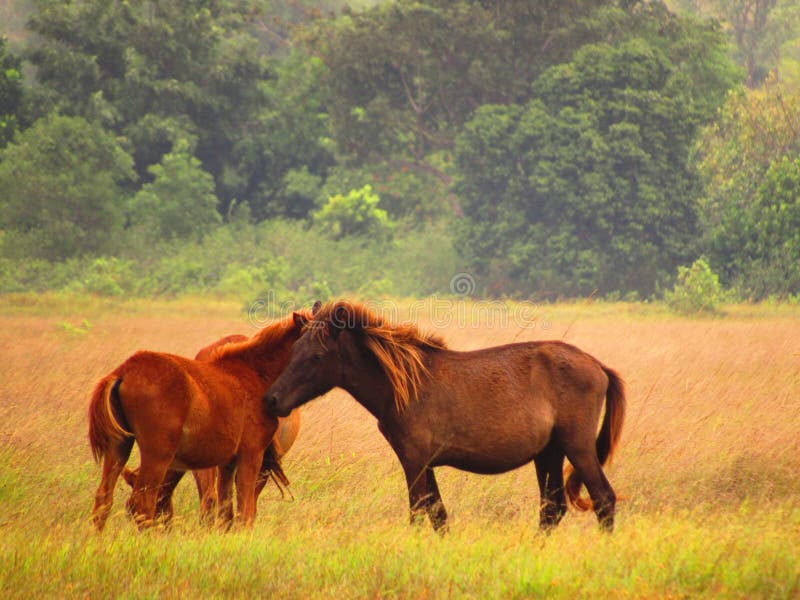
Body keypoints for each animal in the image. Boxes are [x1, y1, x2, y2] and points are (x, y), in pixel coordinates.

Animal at [264, 300, 625, 533]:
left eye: (317, 355)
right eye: (293, 349)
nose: (272, 400)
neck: (404, 384)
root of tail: (598, 366)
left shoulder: (414, 460)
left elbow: (417, 512)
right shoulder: (424, 462)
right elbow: (437, 514)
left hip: (577, 447)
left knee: (603, 499)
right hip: (548, 453)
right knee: (552, 509)